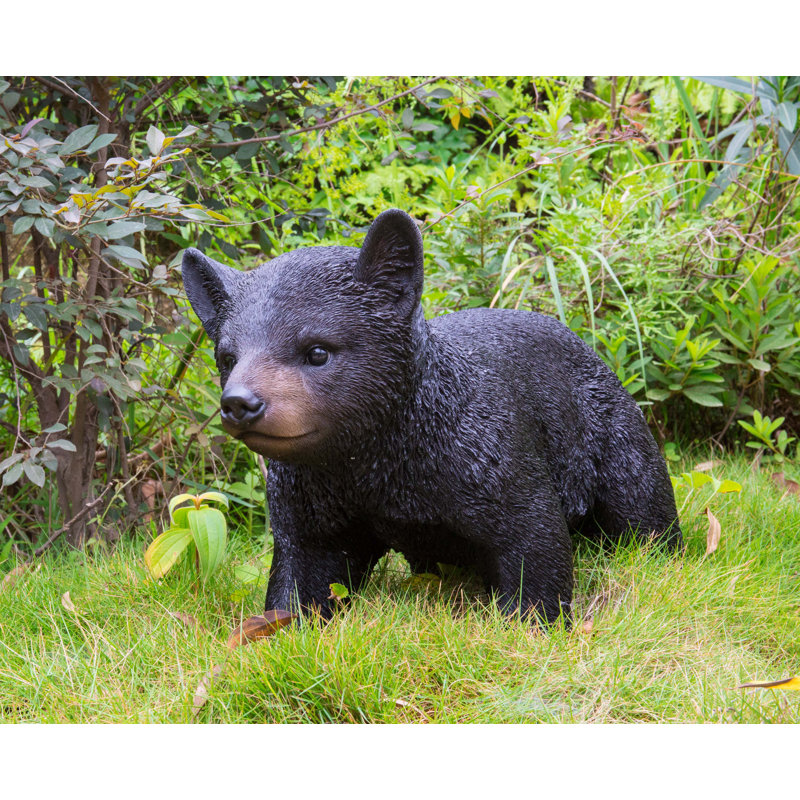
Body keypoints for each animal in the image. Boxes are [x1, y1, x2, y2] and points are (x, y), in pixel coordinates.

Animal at [182, 208, 681, 625]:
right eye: (226, 357)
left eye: (317, 351)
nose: (240, 403)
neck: (379, 471)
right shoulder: (309, 506)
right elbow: (300, 580)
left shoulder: (498, 468)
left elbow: (537, 553)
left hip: (617, 439)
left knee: (644, 514)